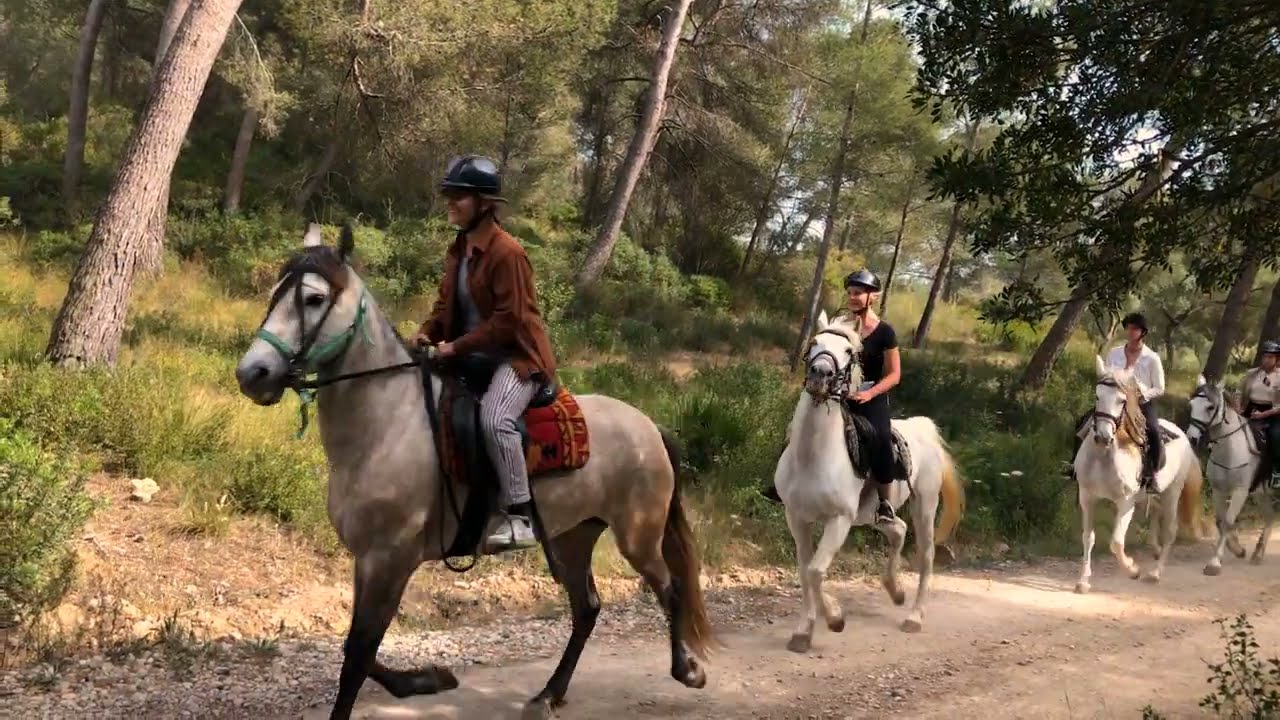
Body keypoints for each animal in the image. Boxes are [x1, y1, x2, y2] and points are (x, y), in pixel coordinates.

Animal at [233, 224, 718, 720]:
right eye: (275, 294)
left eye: (313, 299)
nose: (253, 373)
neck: (388, 422)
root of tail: (648, 425)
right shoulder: (366, 560)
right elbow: (354, 648)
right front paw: (427, 679)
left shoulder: (390, 559)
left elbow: (359, 654)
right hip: (573, 536)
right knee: (587, 608)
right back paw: (549, 694)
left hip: (638, 535)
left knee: (671, 588)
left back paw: (687, 670)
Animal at [773, 310, 964, 651]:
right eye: (815, 342)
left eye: (850, 352)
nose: (820, 374)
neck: (813, 455)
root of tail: (923, 429)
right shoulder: (796, 517)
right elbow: (805, 571)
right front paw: (803, 632)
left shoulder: (839, 520)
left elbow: (816, 571)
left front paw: (834, 618)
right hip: (871, 515)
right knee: (898, 529)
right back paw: (895, 590)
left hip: (924, 505)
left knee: (925, 554)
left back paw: (914, 617)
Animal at [1071, 356, 1207, 593]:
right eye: (1097, 396)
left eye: (1122, 401)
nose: (1103, 437)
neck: (1104, 457)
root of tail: (1184, 436)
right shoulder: (1087, 497)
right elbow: (1088, 537)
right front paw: (1083, 581)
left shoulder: (1125, 502)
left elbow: (1116, 542)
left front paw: (1133, 570)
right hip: (1148, 496)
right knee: (1156, 514)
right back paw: (1154, 551)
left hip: (1172, 493)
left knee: (1170, 531)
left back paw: (1155, 573)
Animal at [1185, 376, 1273, 575]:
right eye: (1192, 404)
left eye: (1210, 407)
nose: (1192, 439)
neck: (1230, 449)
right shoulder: (1219, 490)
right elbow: (1221, 521)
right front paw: (1238, 550)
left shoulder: (1240, 491)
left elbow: (1227, 521)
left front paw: (1214, 563)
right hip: (1261, 492)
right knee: (1270, 516)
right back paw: (1258, 554)